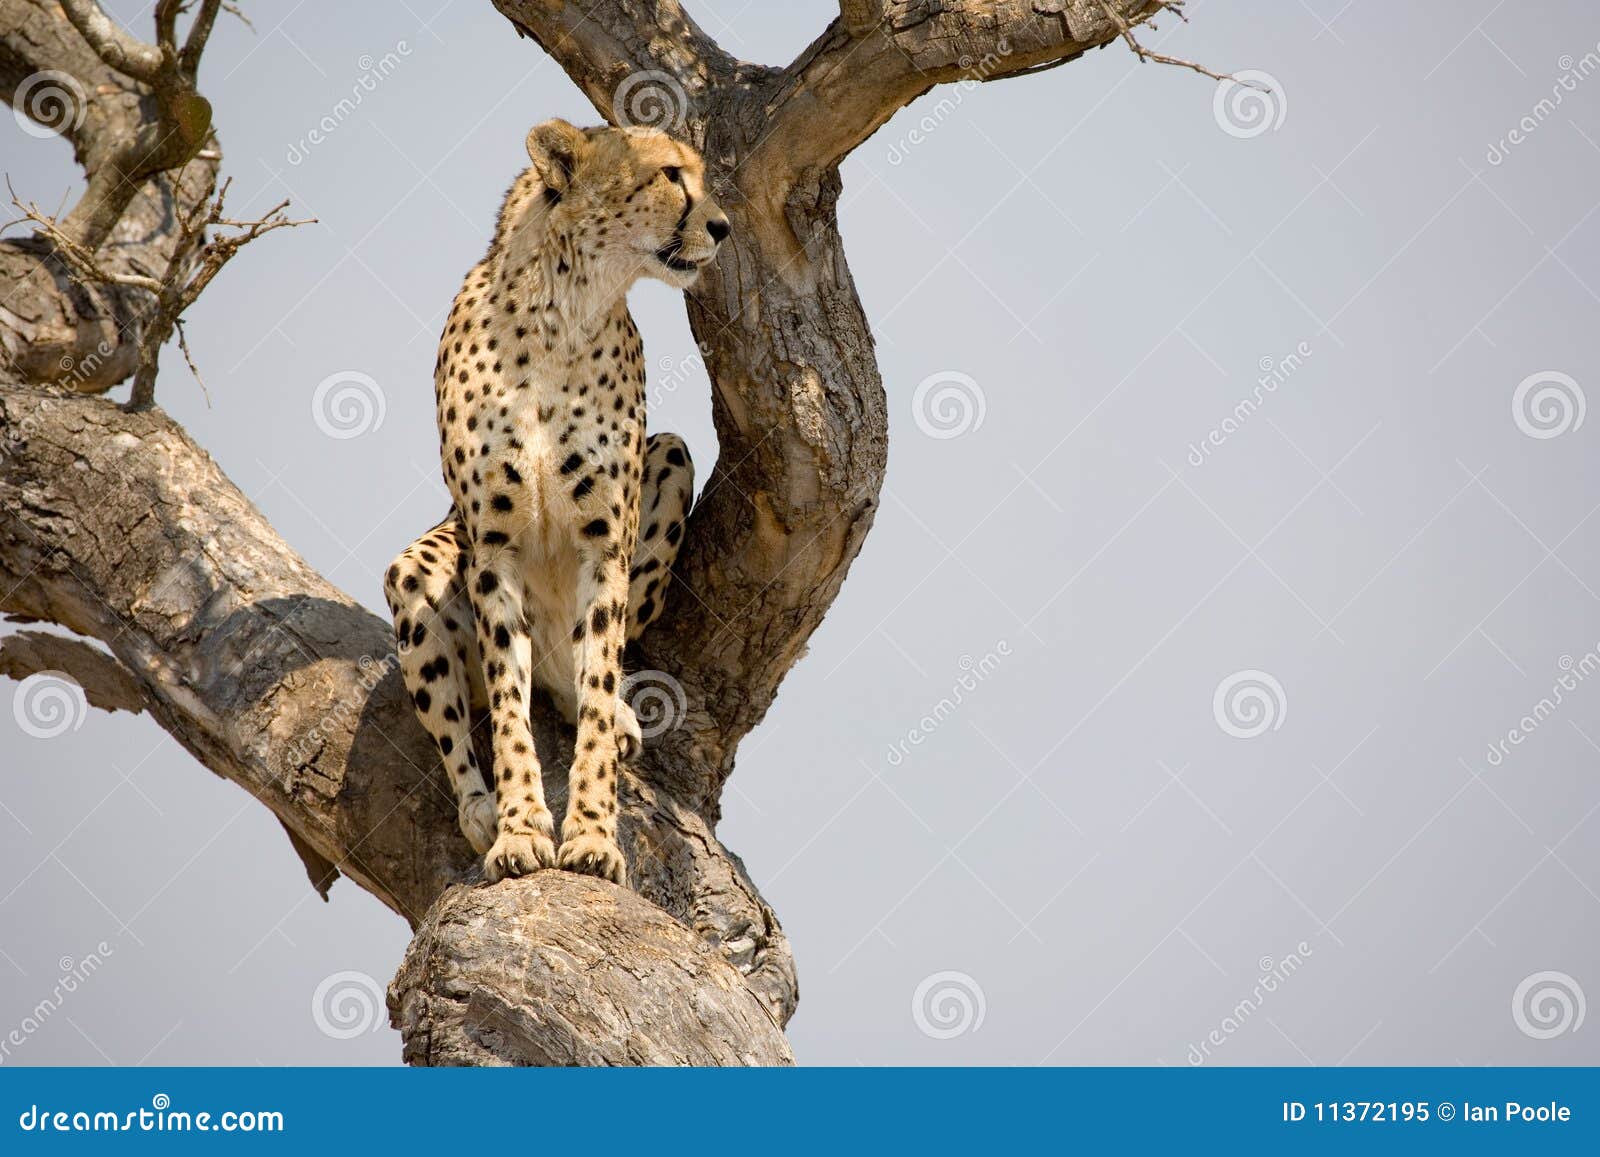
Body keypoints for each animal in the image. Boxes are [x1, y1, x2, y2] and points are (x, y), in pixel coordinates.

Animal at [382, 119, 728, 887]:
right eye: (671, 174)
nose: (722, 227)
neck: (564, 312)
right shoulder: (492, 549)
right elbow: (509, 707)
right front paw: (518, 827)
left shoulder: (605, 543)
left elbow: (596, 685)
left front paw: (594, 836)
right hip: (415, 572)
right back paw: (479, 809)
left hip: (671, 457)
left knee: (578, 678)